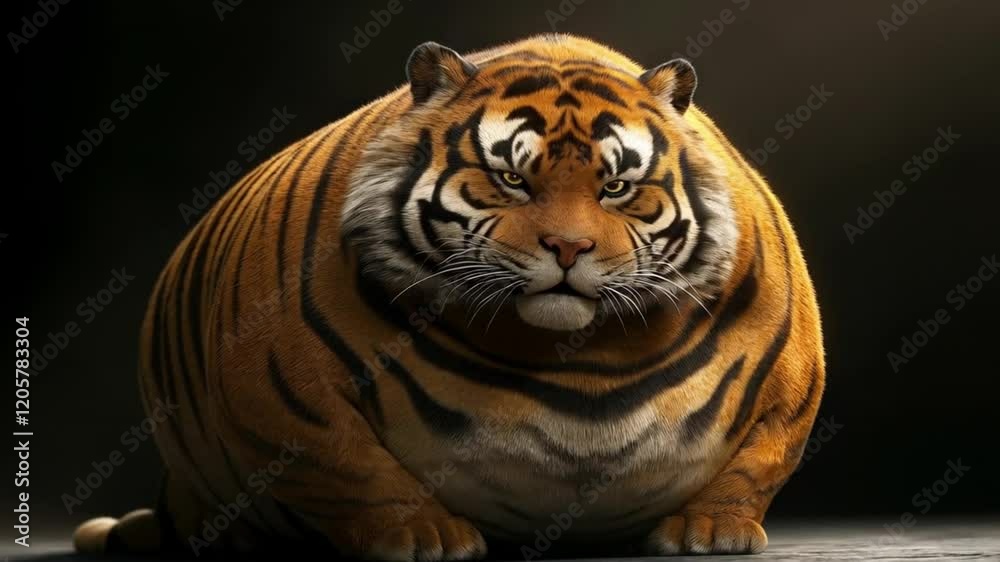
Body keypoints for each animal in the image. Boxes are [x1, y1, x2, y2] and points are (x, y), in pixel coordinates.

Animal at [73, 34, 824, 559]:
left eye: (615, 187)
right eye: (512, 179)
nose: (569, 248)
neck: (583, 356)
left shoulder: (793, 380)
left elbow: (761, 456)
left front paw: (711, 529)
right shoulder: (274, 382)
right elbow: (350, 462)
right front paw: (423, 535)